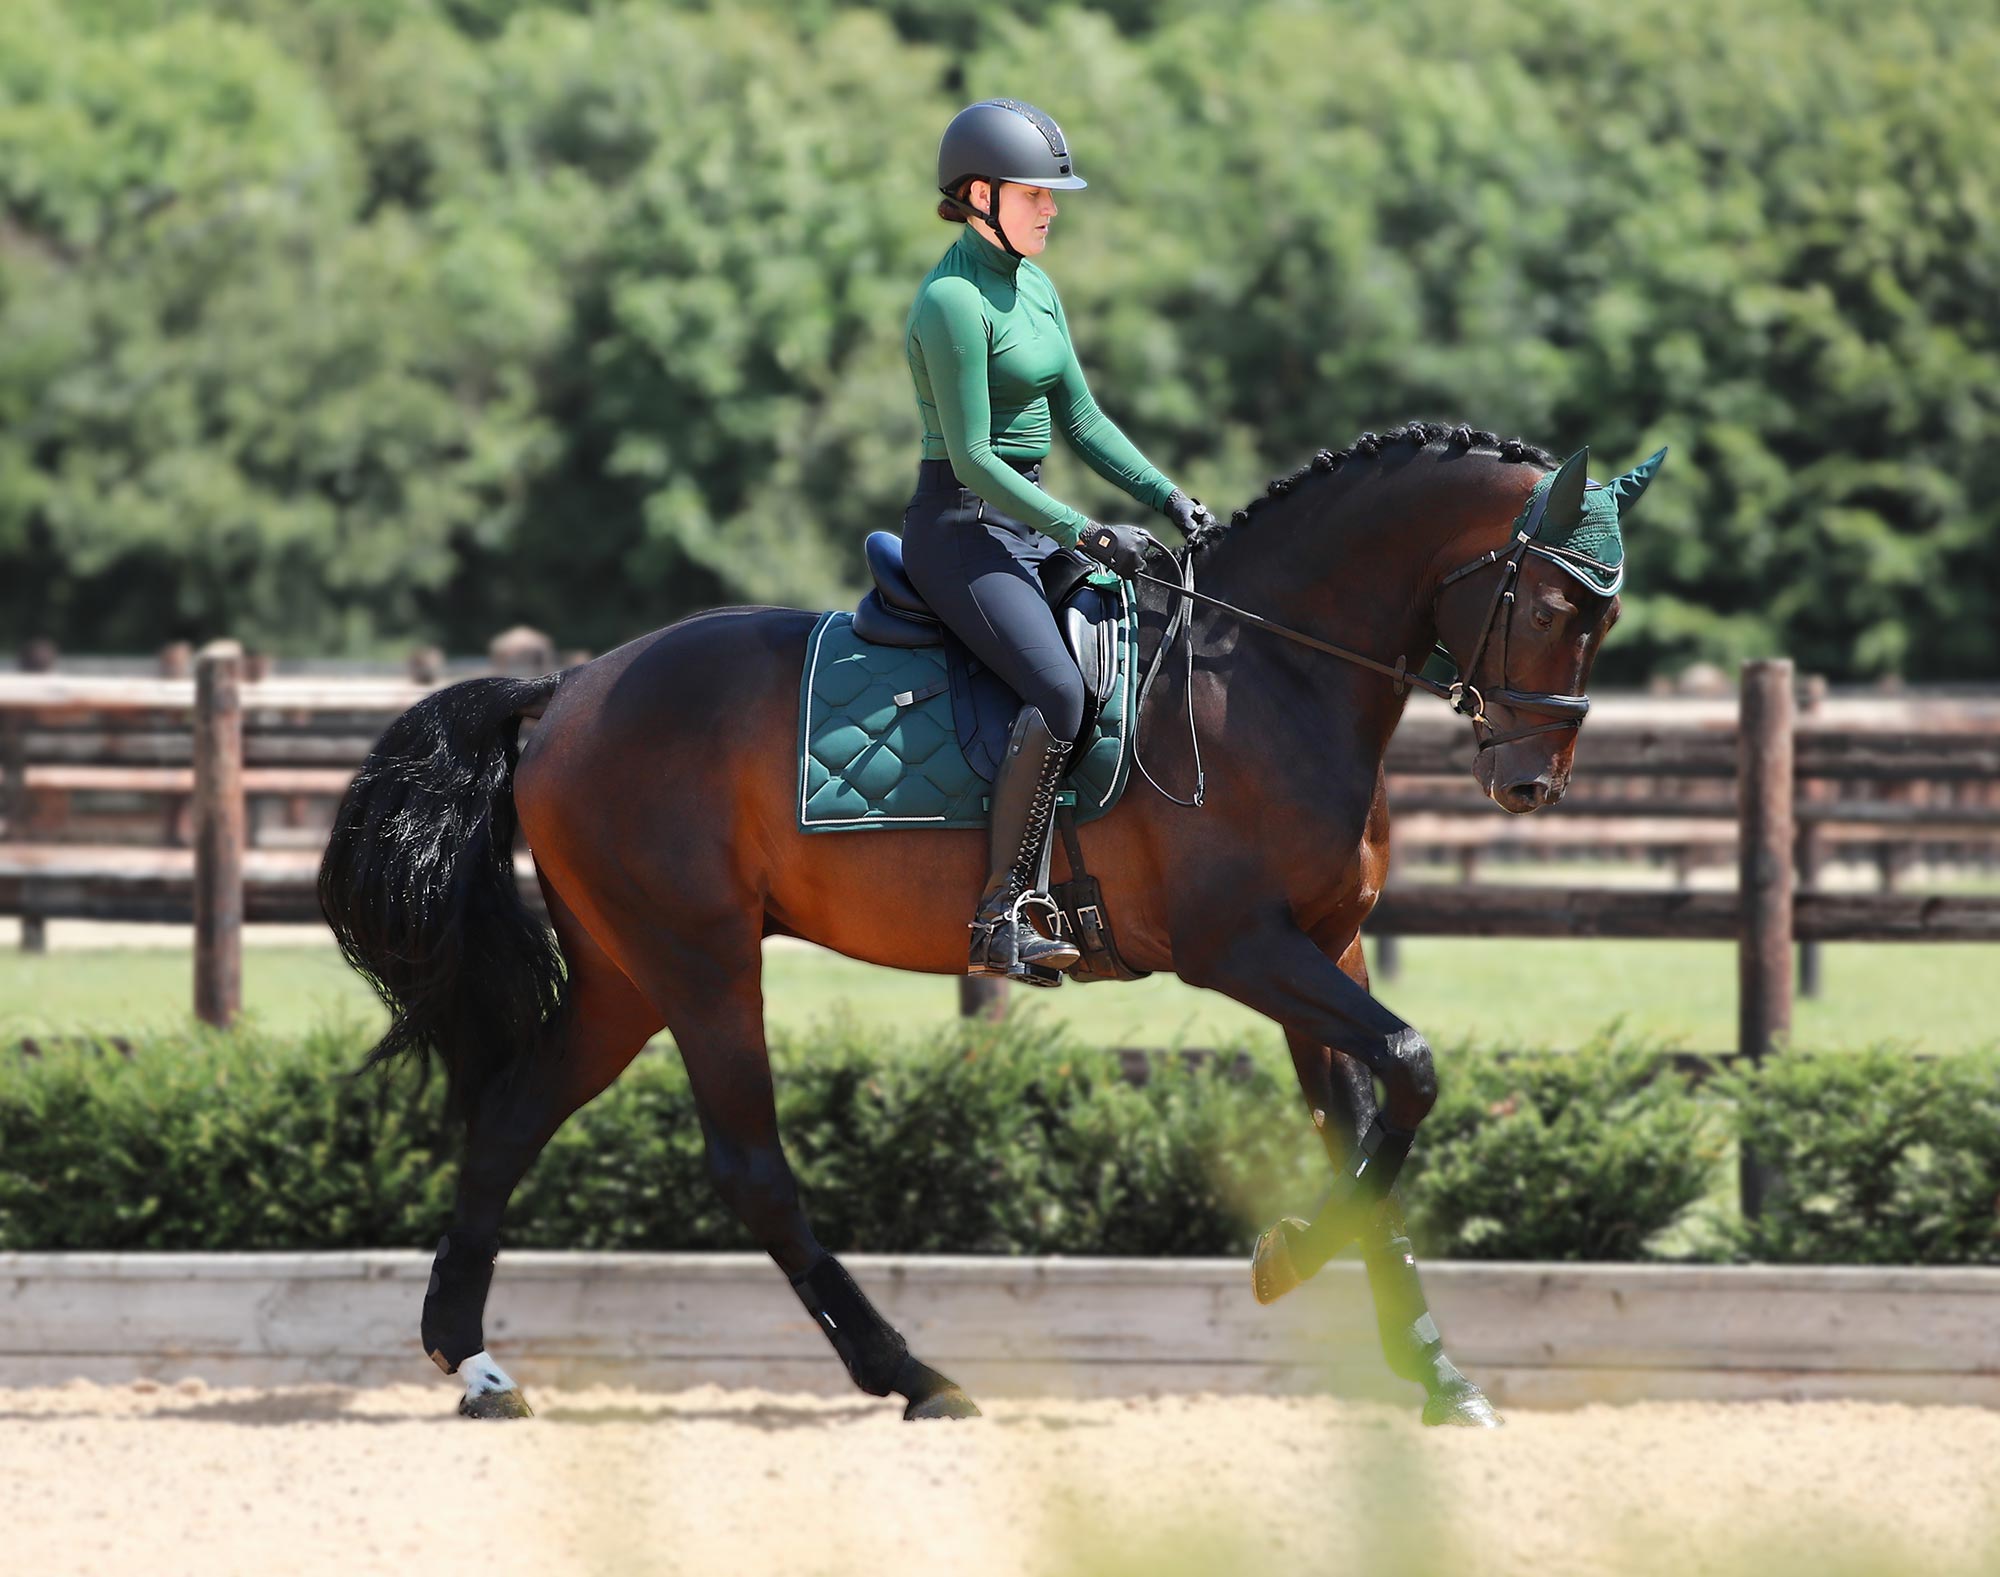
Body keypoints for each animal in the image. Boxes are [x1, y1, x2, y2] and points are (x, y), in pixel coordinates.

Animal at [319, 420, 1660, 1426]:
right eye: (1552, 604)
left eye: (1602, 616)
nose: (1528, 784)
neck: (1265, 675)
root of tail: (572, 686)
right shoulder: (1242, 950)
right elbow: (1411, 1067)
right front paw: (1288, 1262)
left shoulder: (1321, 949)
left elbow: (1368, 1128)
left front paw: (1430, 1368)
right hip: (698, 961)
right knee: (751, 1168)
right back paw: (913, 1374)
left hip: (625, 974)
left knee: (511, 1116)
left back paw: (471, 1360)